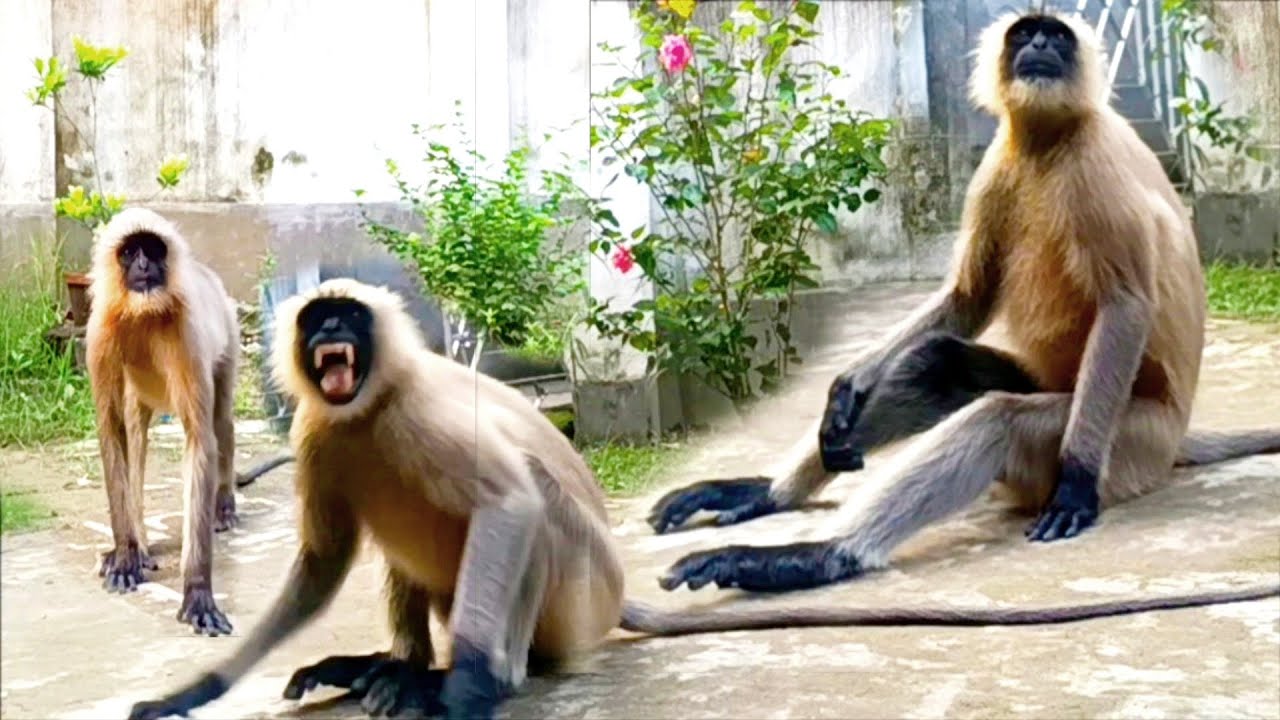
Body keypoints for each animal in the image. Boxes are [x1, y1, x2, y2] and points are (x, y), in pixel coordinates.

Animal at [86, 208, 289, 636]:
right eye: (129, 252)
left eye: (152, 250)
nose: (143, 266)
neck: (142, 314)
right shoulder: (100, 330)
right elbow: (112, 433)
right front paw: (126, 556)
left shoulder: (185, 332)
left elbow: (200, 440)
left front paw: (197, 593)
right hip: (143, 398)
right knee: (135, 433)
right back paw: (140, 546)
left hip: (227, 338)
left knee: (221, 422)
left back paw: (223, 505)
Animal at [126, 279, 1279, 720]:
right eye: (319, 324)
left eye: (348, 325)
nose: (330, 340)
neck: (368, 405)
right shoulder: (329, 438)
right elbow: (320, 563)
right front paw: (192, 688)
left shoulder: (415, 416)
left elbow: (508, 505)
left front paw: (467, 689)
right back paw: (387, 665)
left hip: (561, 600)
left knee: (513, 525)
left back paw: (451, 677)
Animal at [645, 10, 1280, 594]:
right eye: (1026, 34)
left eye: (1057, 36)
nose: (1041, 44)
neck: (1049, 140)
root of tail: (1176, 434)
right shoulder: (998, 165)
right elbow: (968, 297)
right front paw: (844, 389)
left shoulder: (1095, 165)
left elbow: (1124, 307)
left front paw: (1075, 485)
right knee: (933, 364)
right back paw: (769, 496)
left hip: (1131, 441)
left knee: (997, 420)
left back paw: (813, 556)